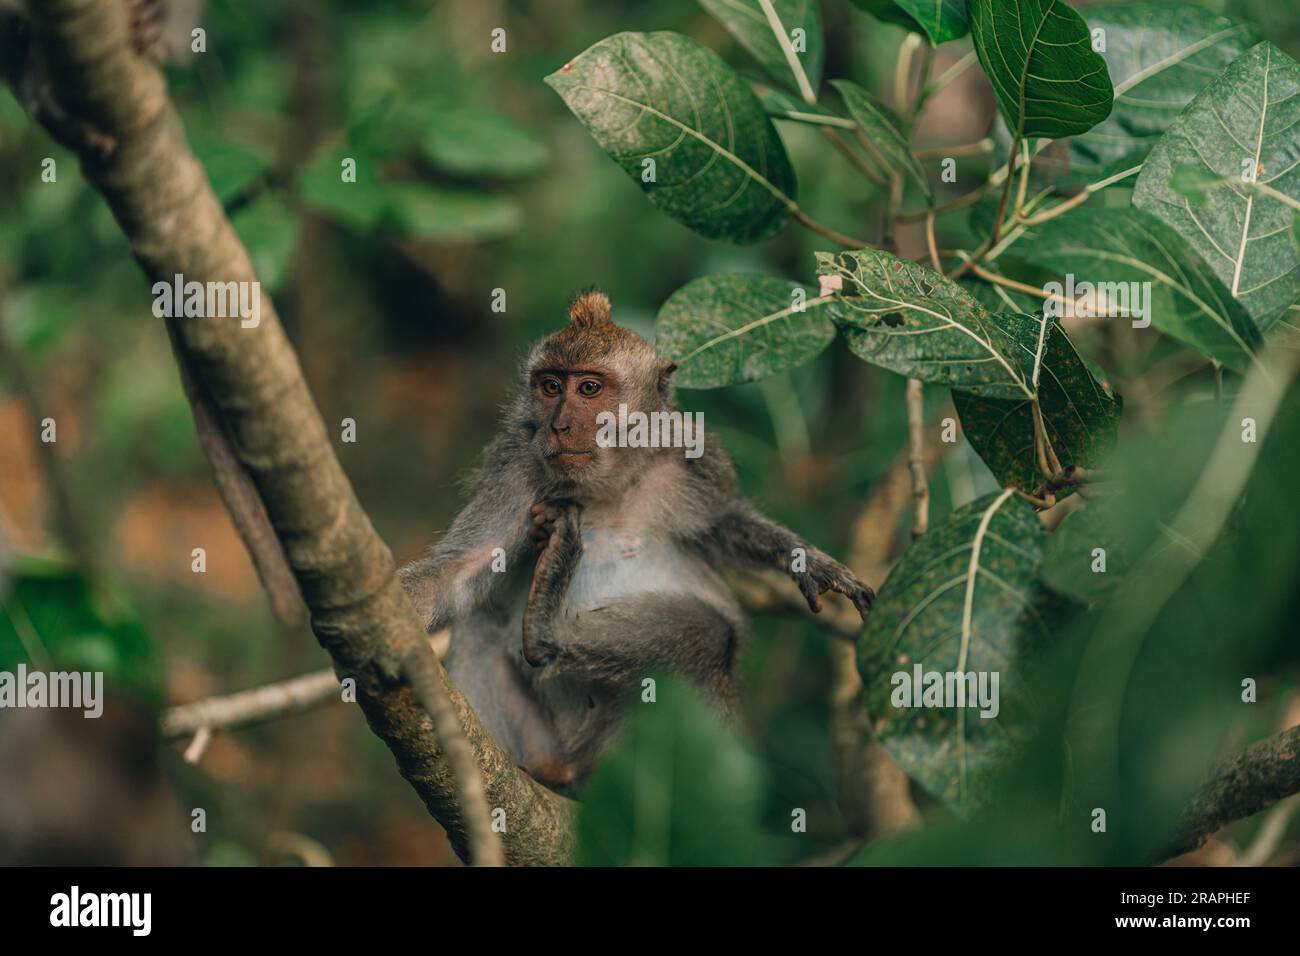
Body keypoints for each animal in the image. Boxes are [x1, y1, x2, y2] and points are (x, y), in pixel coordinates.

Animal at [399, 289, 873, 792]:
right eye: (550, 387)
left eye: (589, 389)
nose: (559, 425)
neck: (606, 484)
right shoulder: (516, 469)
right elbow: (460, 569)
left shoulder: (693, 458)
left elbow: (723, 523)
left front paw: (808, 562)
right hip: (542, 737)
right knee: (481, 628)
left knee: (714, 638)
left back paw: (547, 631)